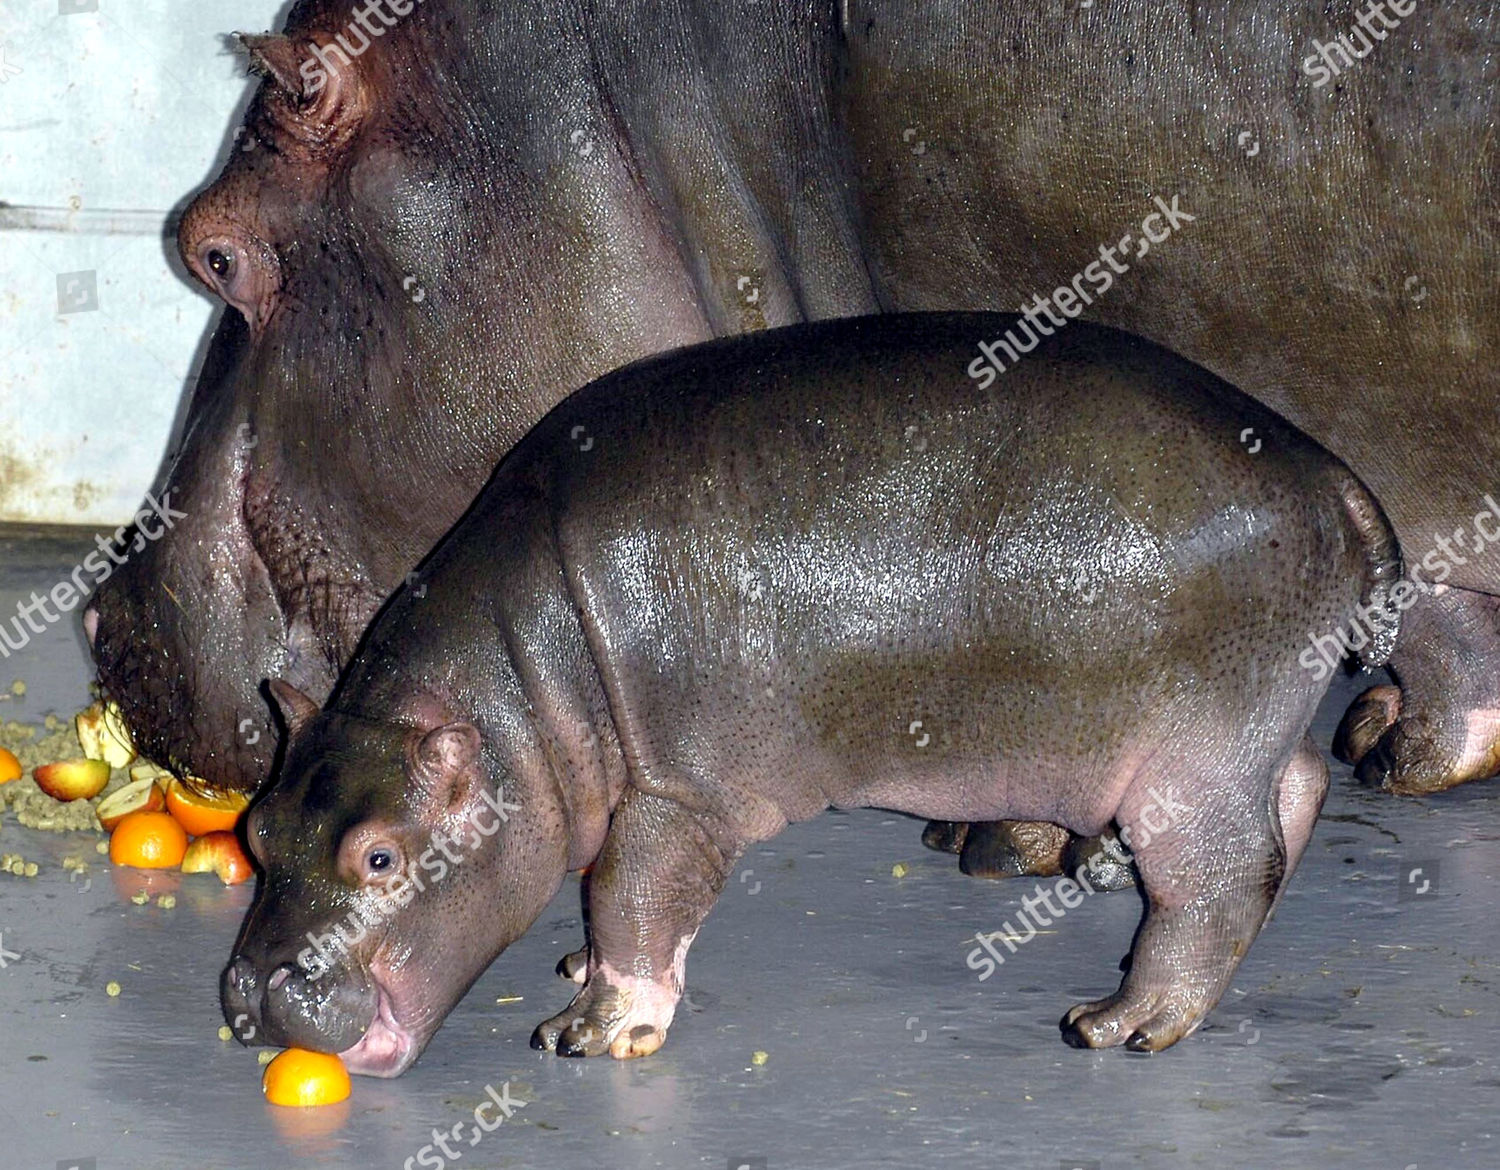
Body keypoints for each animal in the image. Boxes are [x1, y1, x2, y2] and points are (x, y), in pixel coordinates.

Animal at [221, 313, 1400, 1072]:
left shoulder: (679, 792)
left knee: (1218, 877)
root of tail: (1334, 474)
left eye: (380, 856)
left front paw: (591, 1031)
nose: (253, 995)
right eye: (257, 829)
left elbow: (636, 890)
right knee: (1298, 789)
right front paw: (575, 965)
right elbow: (608, 899)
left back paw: (1119, 1023)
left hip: (1187, 766)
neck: (519, 690)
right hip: (1247, 728)